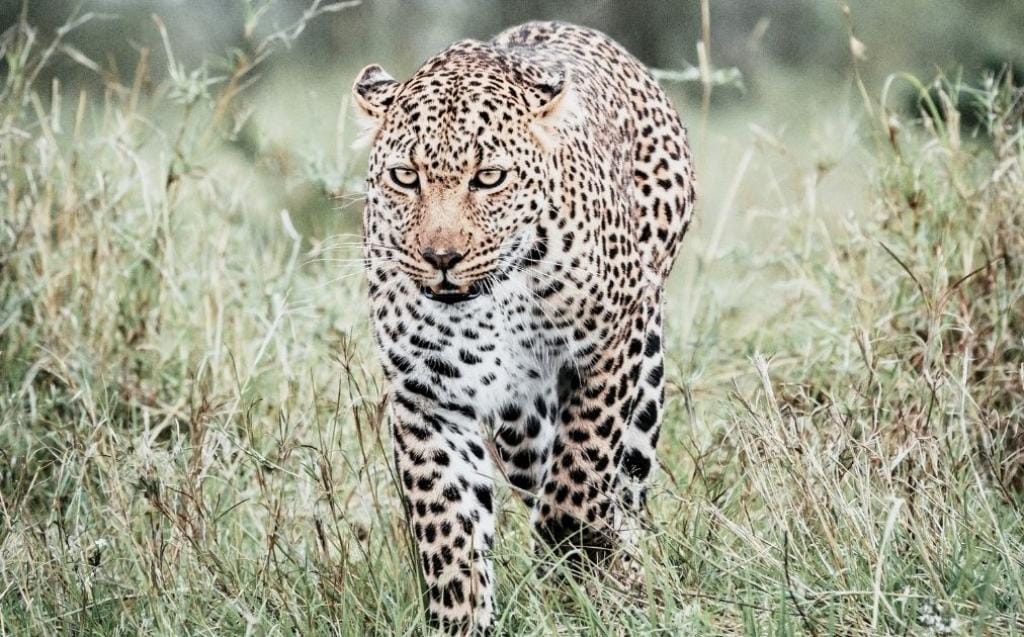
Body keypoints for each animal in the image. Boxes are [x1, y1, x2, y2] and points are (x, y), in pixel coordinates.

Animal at [352, 20, 695, 635]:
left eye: (488, 178)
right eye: (405, 178)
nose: (441, 257)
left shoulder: (610, 348)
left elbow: (582, 469)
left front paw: (578, 546)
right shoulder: (426, 396)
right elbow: (449, 528)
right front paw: (464, 619)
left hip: (646, 356)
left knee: (626, 484)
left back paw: (623, 572)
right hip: (520, 418)